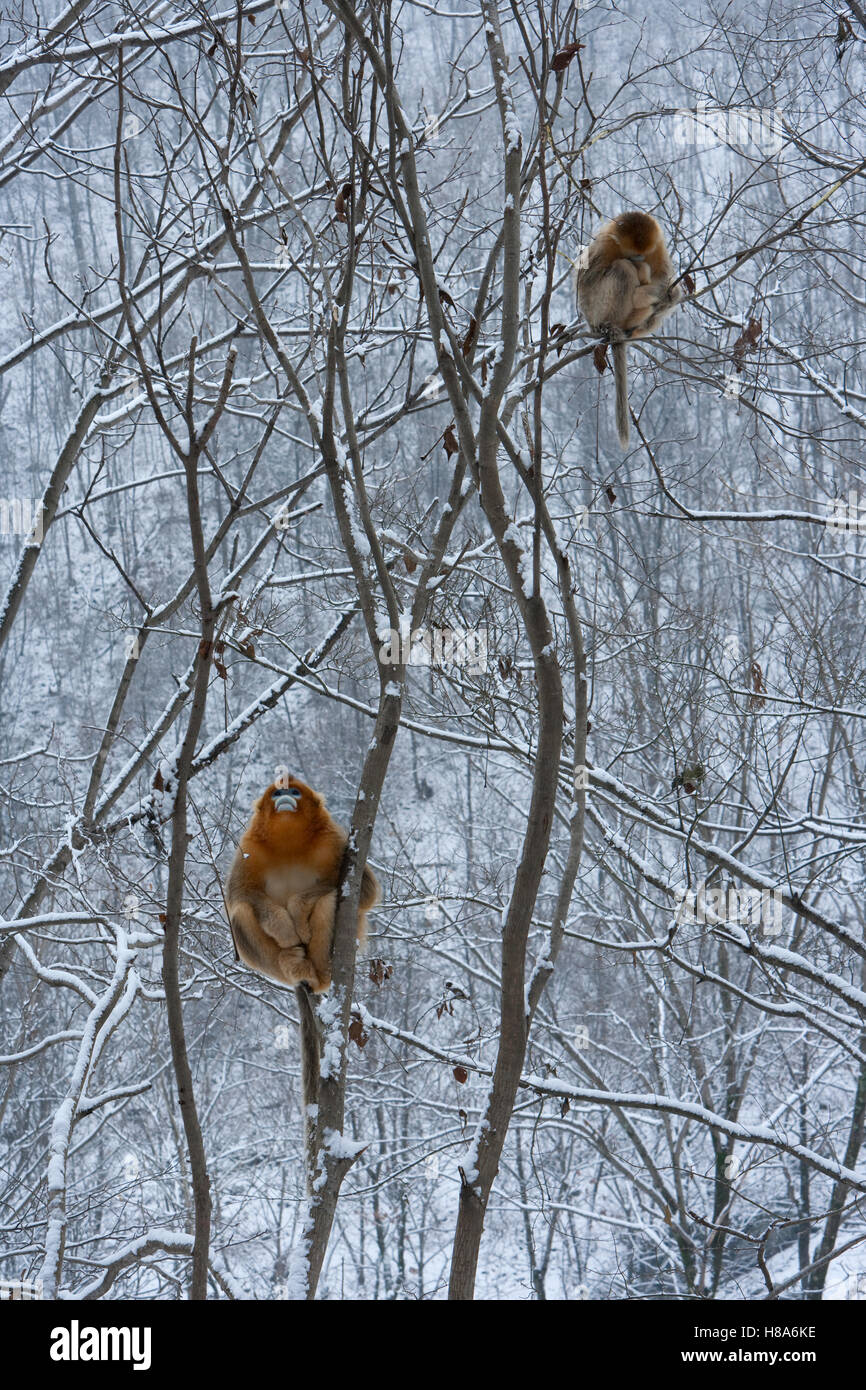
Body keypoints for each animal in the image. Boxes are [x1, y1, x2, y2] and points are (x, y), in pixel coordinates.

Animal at [224, 775, 380, 994]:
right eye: (277, 793)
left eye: (294, 792)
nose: (284, 795)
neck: (289, 840)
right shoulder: (249, 848)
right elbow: (238, 894)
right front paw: (284, 929)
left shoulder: (333, 840)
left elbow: (366, 891)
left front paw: (298, 913)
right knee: (241, 913)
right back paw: (293, 964)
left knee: (329, 900)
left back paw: (321, 973)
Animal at [576, 211, 682, 449]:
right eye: (634, 253)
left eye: (643, 253)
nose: (639, 261)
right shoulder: (604, 245)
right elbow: (587, 280)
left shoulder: (658, 247)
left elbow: (665, 278)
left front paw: (661, 291)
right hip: (597, 310)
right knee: (622, 270)